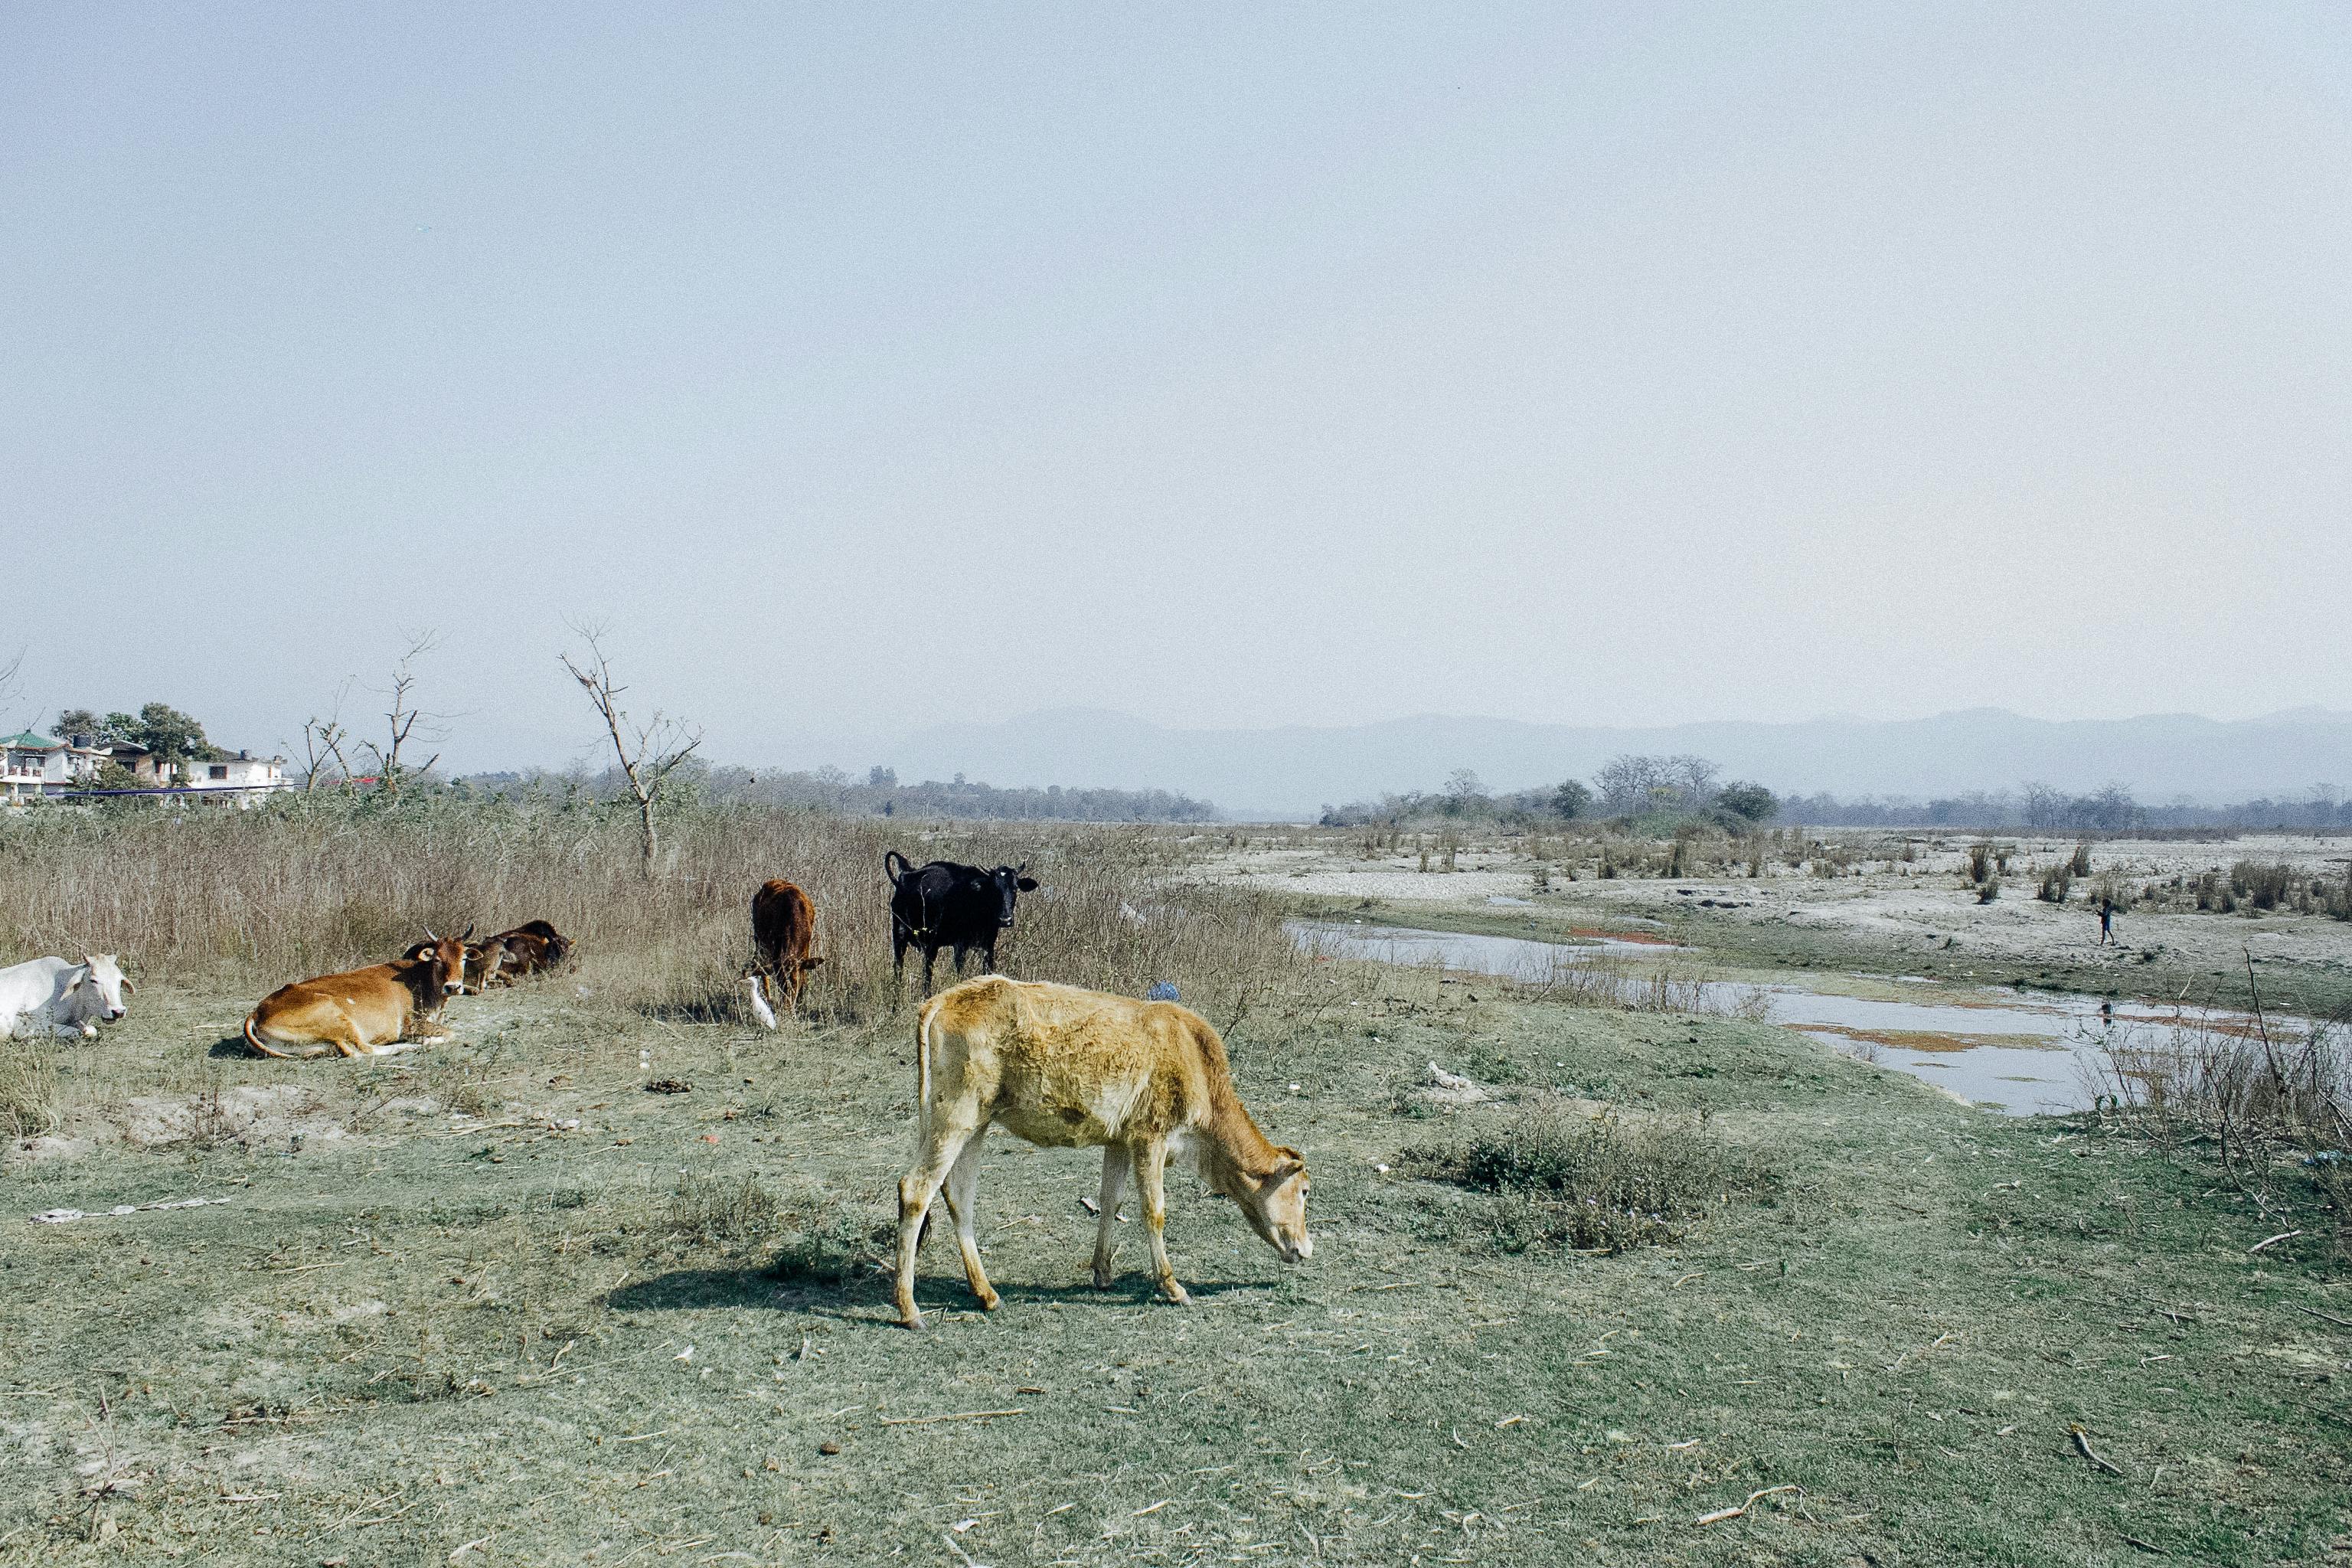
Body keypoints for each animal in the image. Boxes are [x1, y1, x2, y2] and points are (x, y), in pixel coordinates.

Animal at [0, 954, 133, 1039]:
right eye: (93, 980)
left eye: (120, 980)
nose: (118, 1012)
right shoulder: (22, 1025)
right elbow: (80, 1032)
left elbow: (89, 1030)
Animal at [243, 930, 470, 1059]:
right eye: (437, 959)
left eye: (464, 958)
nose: (453, 987)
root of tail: (257, 1013)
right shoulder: (412, 1025)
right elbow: (451, 1033)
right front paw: (424, 1041)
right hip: (337, 1019)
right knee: (362, 1050)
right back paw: (409, 1047)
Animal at [746, 880, 822, 1029]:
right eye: (780, 983)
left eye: (795, 983)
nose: (786, 1007)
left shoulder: (805, 952)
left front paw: (800, 1004)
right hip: (759, 939)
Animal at [884, 851, 1037, 994]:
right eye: (994, 890)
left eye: (1015, 888)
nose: (1005, 920)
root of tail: (906, 873)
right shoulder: (960, 946)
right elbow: (960, 974)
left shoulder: (989, 946)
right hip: (900, 936)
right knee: (899, 970)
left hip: (931, 945)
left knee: (927, 972)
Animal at [893, 976, 1312, 1331]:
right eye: (1305, 1191)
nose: (1307, 1248)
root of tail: (944, 998)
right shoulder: (1150, 1137)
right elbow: (1154, 1212)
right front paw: (1172, 1286)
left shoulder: (1119, 1141)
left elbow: (1111, 1201)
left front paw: (1103, 1272)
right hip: (955, 1116)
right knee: (916, 1189)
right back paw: (910, 1309)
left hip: (975, 1125)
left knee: (959, 1196)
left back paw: (986, 1293)